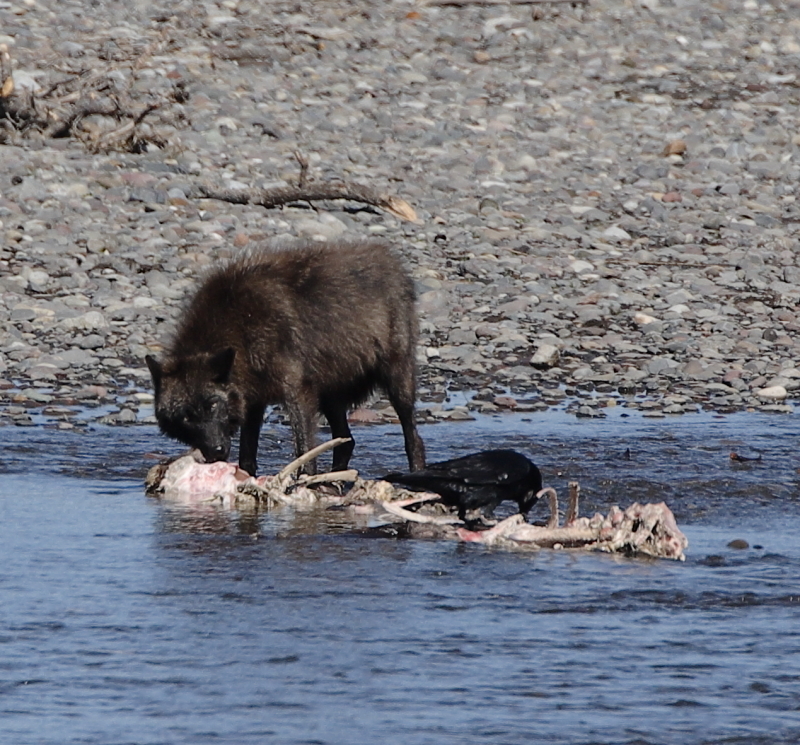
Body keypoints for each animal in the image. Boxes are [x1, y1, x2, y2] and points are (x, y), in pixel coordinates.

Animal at [145, 240, 426, 476]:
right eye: (185, 418)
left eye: (212, 405)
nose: (216, 452)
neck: (239, 328)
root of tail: (394, 262)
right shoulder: (253, 401)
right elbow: (247, 456)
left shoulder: (297, 392)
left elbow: (304, 450)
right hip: (330, 398)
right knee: (345, 442)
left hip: (397, 381)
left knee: (414, 439)